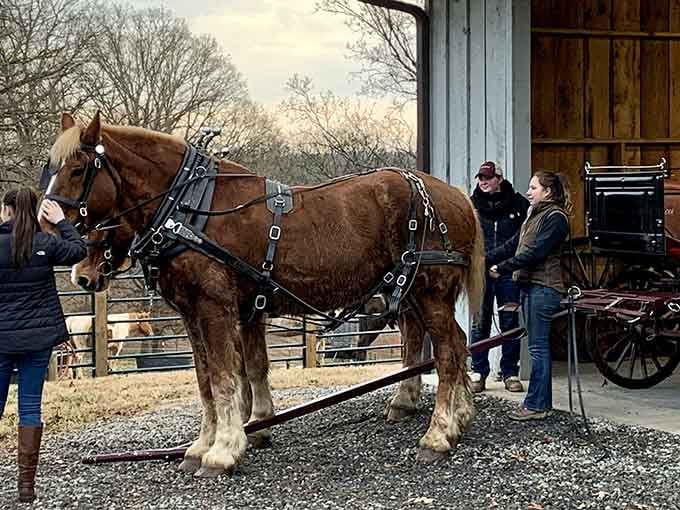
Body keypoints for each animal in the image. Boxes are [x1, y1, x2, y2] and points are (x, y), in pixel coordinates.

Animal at [42, 111, 484, 476]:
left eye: (79, 169)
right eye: (51, 168)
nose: (47, 224)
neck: (190, 209)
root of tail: (456, 196)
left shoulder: (215, 308)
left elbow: (224, 378)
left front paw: (223, 451)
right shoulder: (205, 312)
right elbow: (219, 377)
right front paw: (213, 441)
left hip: (429, 292)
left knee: (447, 352)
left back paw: (438, 435)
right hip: (415, 293)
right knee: (451, 343)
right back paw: (455, 416)